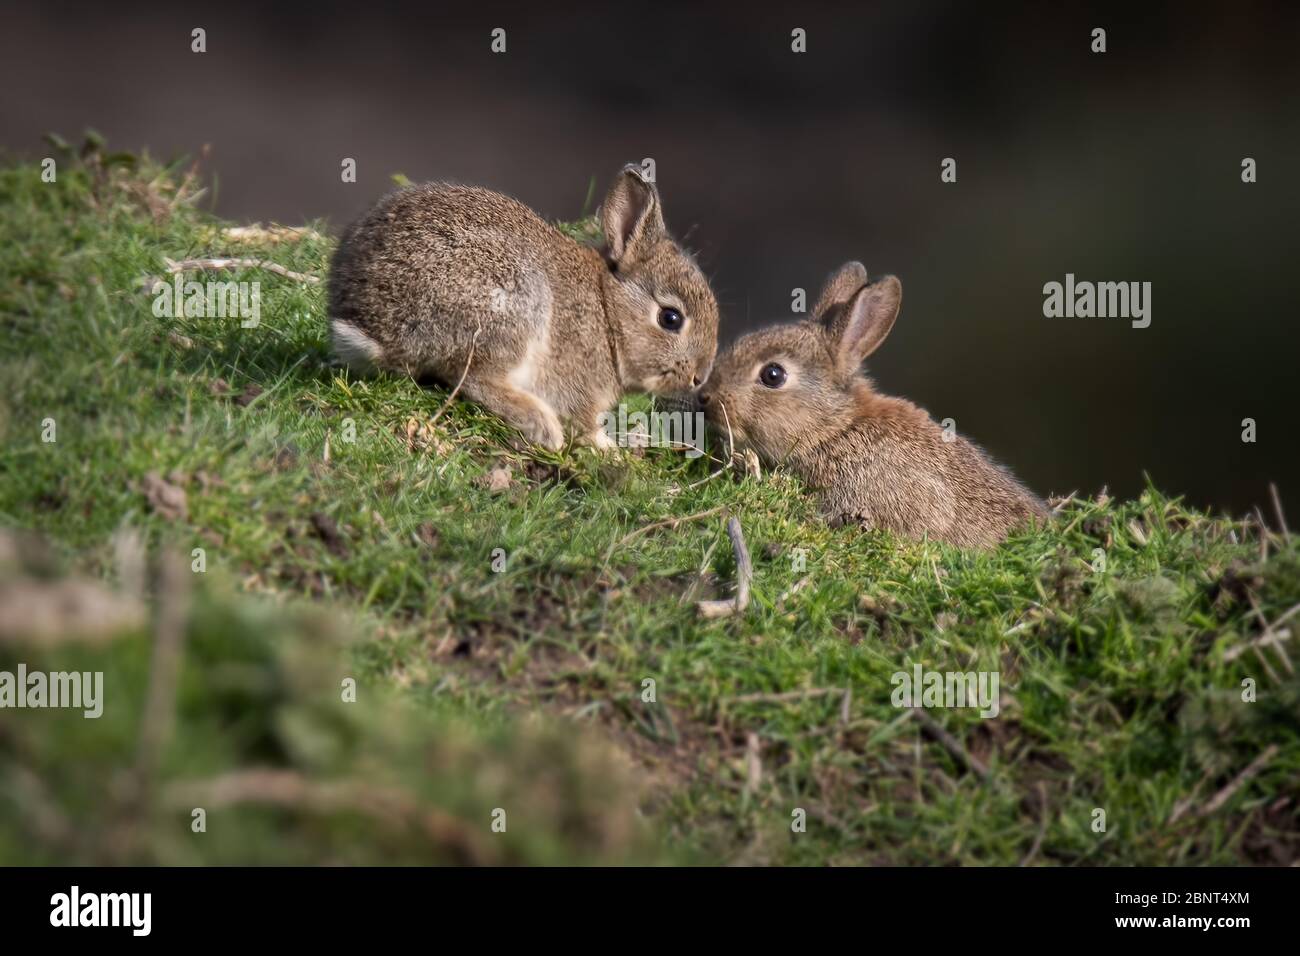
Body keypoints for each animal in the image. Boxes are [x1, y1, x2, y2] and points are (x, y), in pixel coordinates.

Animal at [327, 164, 719, 451]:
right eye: (671, 318)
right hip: (510, 305)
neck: (609, 314)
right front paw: (609, 450)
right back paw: (544, 426)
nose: (698, 377)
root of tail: (376, 328)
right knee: (473, 378)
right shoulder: (579, 385)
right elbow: (586, 424)